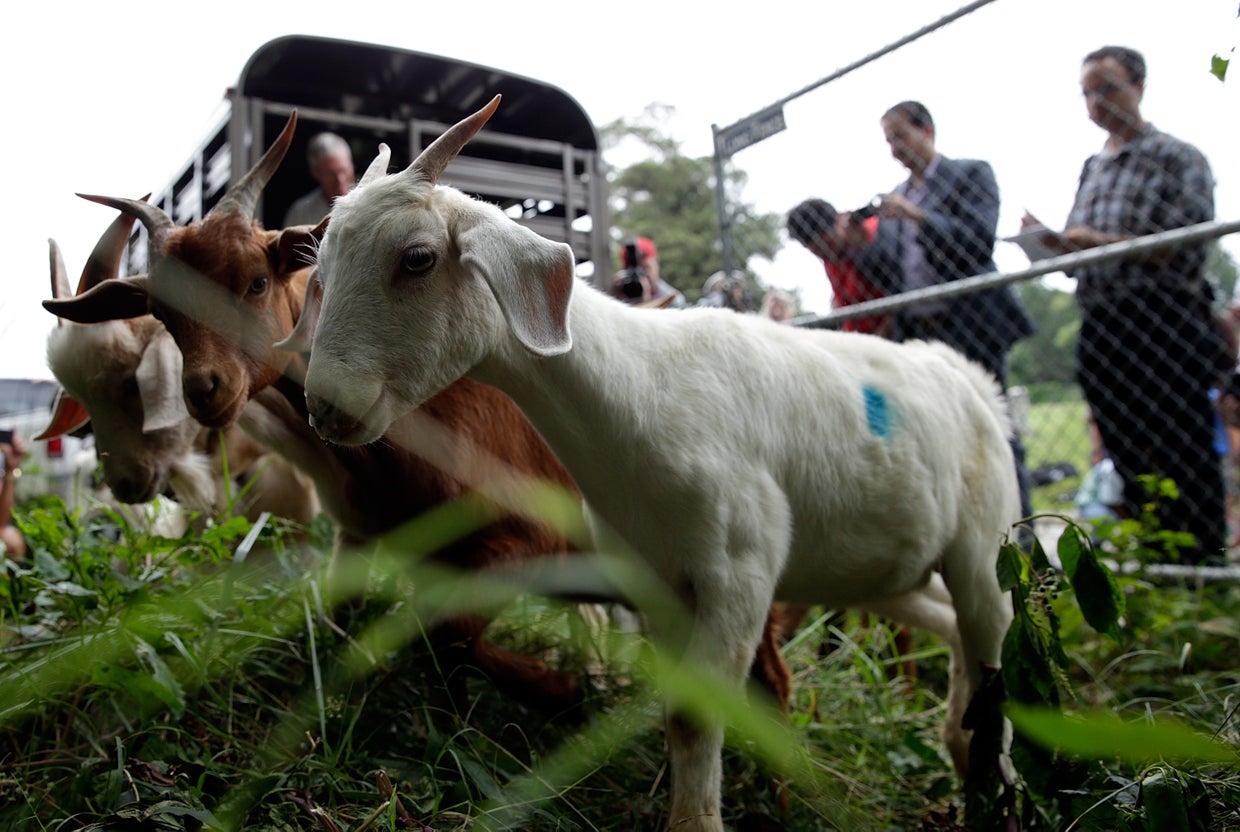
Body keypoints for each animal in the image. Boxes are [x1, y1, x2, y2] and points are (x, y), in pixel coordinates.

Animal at [289, 96, 1018, 831]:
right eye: (320, 268)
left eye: (417, 258)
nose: (326, 405)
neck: (643, 392)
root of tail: (967, 378)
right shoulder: (656, 581)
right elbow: (679, 711)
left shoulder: (739, 573)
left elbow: (698, 717)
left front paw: (697, 821)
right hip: (890, 569)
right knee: (953, 631)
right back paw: (962, 752)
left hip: (985, 547)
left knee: (993, 643)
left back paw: (996, 779)